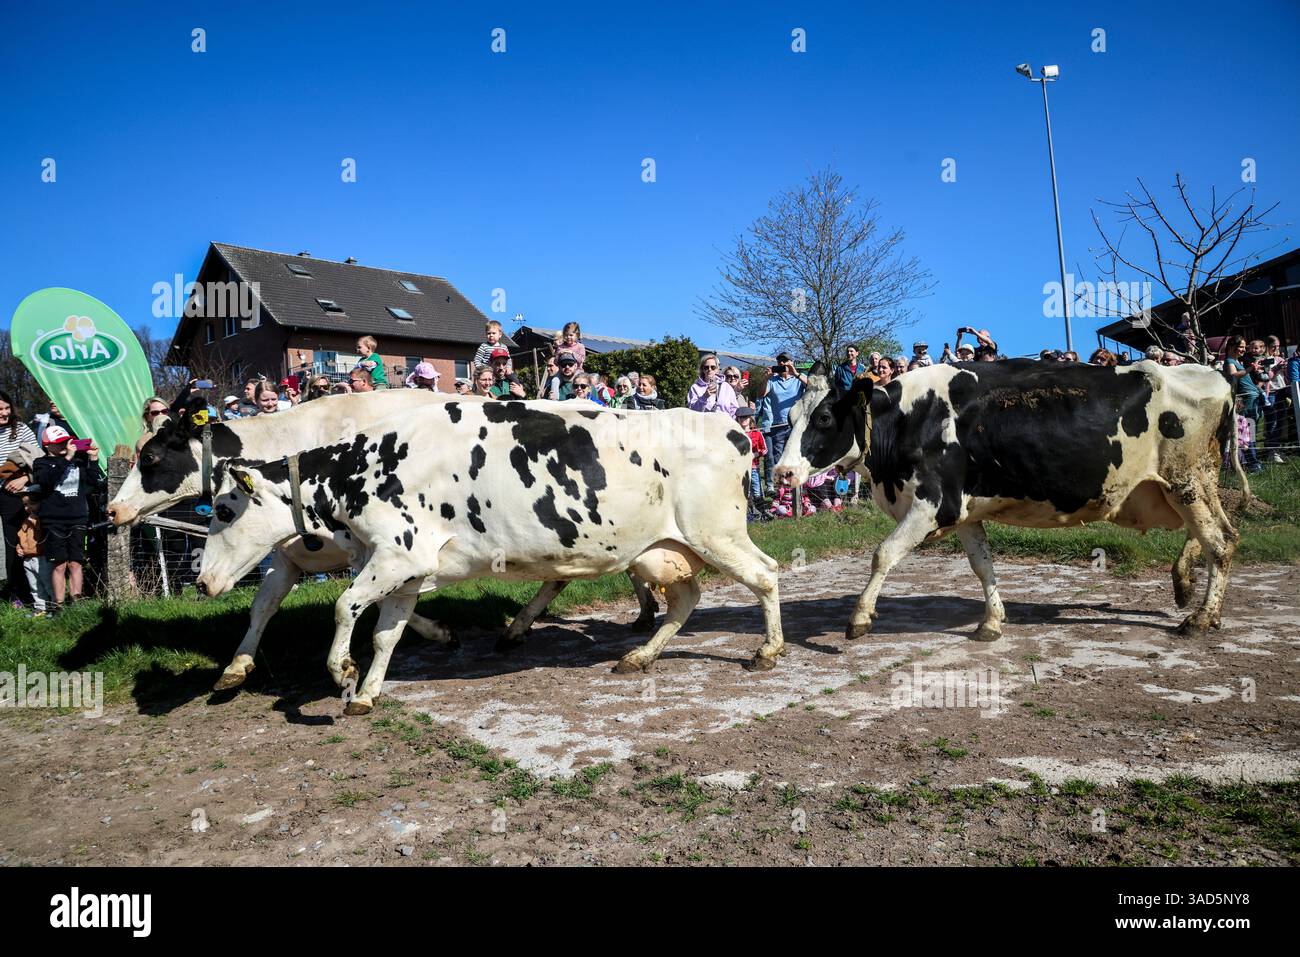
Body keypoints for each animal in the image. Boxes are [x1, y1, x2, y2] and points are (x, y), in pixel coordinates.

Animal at [122, 397, 783, 712]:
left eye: (223, 509)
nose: (202, 581)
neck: (362, 466)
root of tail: (729, 427)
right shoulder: (407, 565)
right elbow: (383, 627)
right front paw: (368, 692)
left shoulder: (393, 556)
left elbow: (344, 607)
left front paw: (341, 673)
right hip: (661, 549)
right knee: (687, 598)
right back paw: (639, 655)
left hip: (715, 533)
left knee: (767, 575)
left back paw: (768, 652)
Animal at [774, 359, 1247, 642]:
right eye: (791, 417)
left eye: (824, 418)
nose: (782, 472)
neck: (909, 418)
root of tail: (1209, 374)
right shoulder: (964, 512)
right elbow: (983, 565)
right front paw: (992, 621)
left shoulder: (933, 503)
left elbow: (882, 554)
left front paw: (859, 618)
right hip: (1184, 485)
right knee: (1210, 534)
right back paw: (1184, 584)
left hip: (1187, 479)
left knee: (1220, 540)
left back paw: (1202, 618)